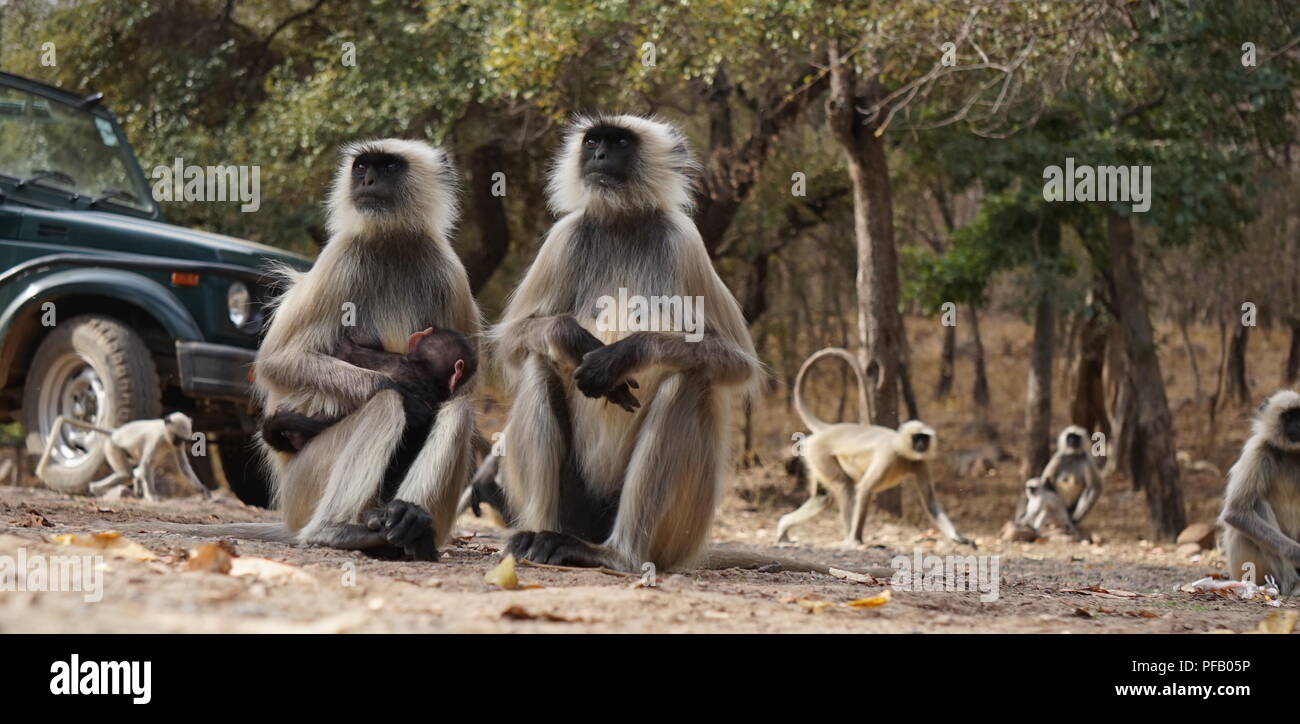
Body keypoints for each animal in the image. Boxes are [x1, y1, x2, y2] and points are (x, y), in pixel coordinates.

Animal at [37, 413, 208, 500]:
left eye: (183, 440)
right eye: (178, 438)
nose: (178, 443)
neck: (166, 435)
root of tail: (114, 432)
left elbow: (183, 467)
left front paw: (202, 489)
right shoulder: (157, 438)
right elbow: (146, 465)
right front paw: (152, 496)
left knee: (138, 471)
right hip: (112, 447)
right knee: (128, 473)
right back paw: (95, 489)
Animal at [135, 139, 480, 562]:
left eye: (388, 167)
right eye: (362, 166)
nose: (366, 181)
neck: (392, 241)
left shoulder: (450, 270)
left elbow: (464, 385)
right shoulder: (341, 256)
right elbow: (278, 362)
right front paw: (409, 388)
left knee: (458, 409)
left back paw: (411, 526)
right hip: (303, 485)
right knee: (386, 402)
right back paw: (336, 530)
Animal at [488, 114, 763, 573]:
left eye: (619, 143)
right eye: (593, 142)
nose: (599, 155)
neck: (622, 219)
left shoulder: (683, 241)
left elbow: (736, 362)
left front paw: (623, 356)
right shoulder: (565, 236)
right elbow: (512, 343)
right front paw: (571, 338)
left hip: (679, 536)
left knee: (688, 379)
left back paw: (619, 554)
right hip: (576, 507)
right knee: (538, 362)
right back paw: (537, 535)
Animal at [775, 347, 972, 547]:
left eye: (924, 438)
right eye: (917, 437)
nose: (921, 444)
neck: (902, 452)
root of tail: (829, 429)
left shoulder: (920, 462)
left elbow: (931, 503)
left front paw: (959, 537)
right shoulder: (889, 455)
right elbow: (865, 488)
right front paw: (855, 539)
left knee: (822, 497)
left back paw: (783, 530)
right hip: (819, 453)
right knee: (844, 485)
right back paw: (850, 539)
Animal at [1219, 390, 1300, 596]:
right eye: (1289, 416)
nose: (1298, 424)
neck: (1292, 453)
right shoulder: (1258, 450)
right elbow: (1235, 512)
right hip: (1245, 568)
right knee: (1255, 504)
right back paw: (1293, 584)